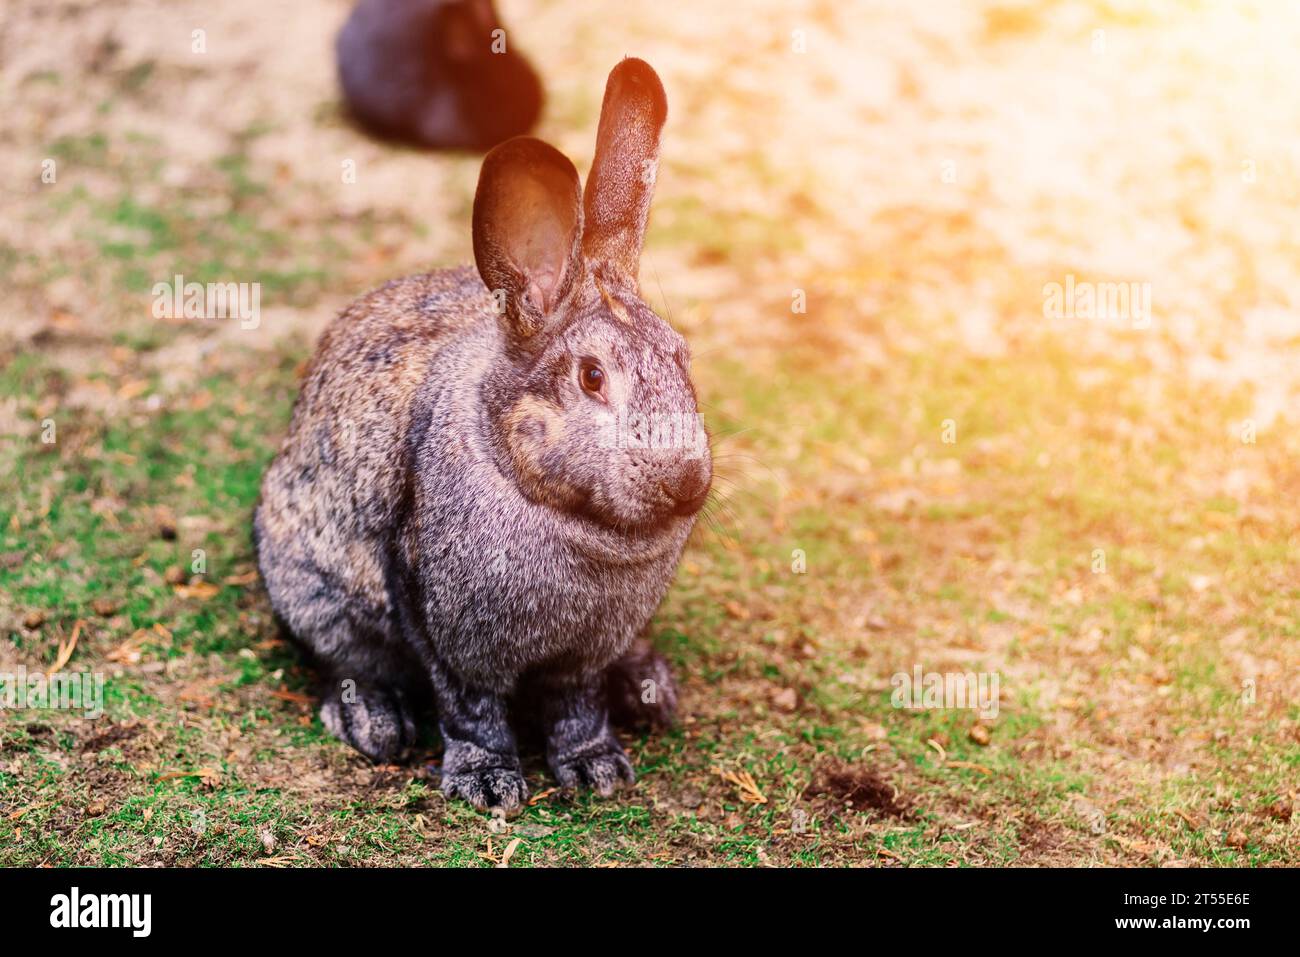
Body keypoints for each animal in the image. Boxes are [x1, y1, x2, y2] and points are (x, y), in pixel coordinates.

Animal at [255, 58, 710, 813]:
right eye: (591, 377)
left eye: (682, 356)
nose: (689, 482)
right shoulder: (437, 615)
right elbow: (470, 705)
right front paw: (489, 784)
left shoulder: (584, 654)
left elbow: (577, 704)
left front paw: (596, 768)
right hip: (310, 585)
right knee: (343, 658)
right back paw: (373, 720)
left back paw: (648, 688)